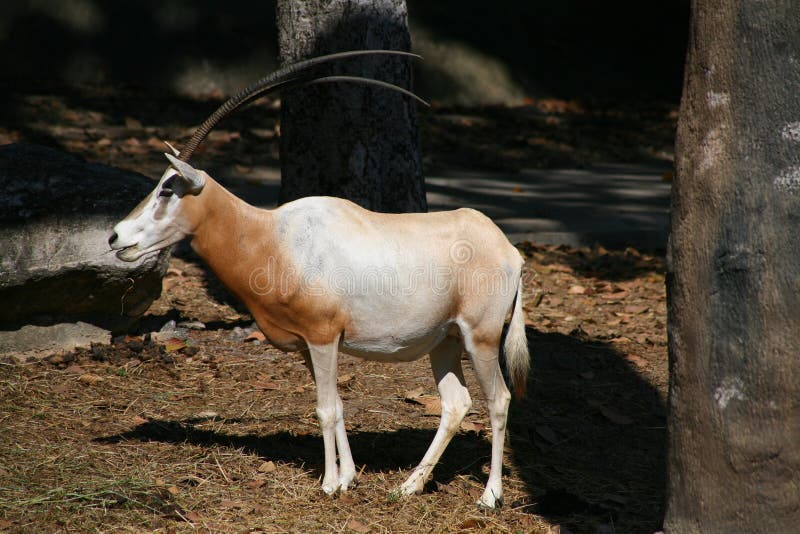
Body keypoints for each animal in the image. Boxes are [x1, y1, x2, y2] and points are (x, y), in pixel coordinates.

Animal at [108, 50, 530, 509]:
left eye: (168, 189)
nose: (116, 238)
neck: (271, 237)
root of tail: (508, 250)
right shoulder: (308, 344)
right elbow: (338, 404)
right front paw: (348, 478)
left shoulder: (324, 336)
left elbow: (325, 409)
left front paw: (329, 484)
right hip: (446, 341)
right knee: (456, 403)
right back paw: (408, 486)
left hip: (481, 337)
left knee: (499, 400)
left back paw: (490, 496)